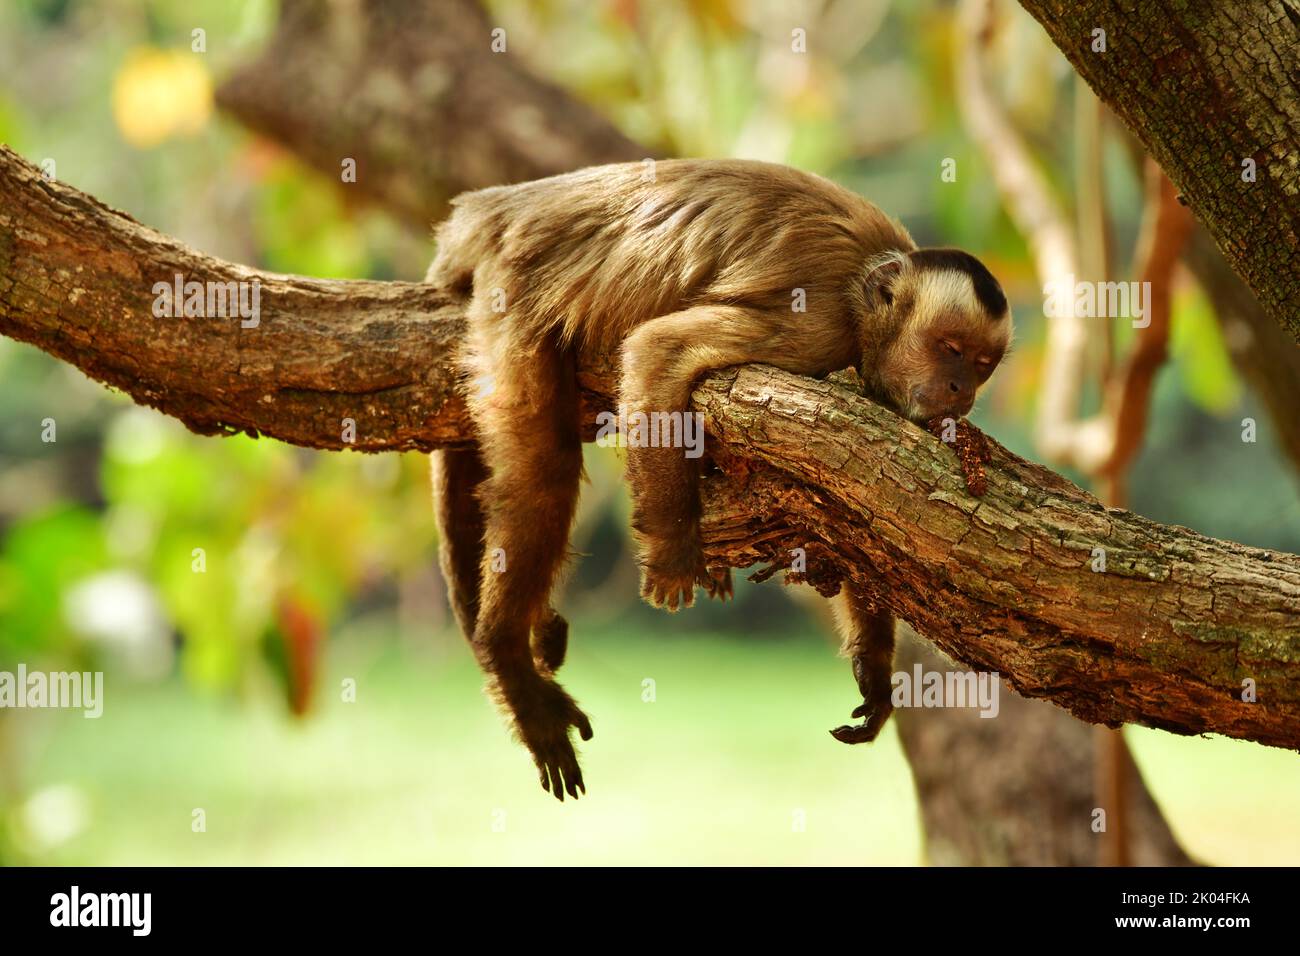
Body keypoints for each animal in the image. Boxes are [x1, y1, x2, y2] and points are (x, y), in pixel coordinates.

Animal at [426, 159, 1012, 800]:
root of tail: (497, 206)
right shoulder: (818, 325)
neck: (866, 301)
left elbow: (861, 512)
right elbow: (659, 348)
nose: (963, 391)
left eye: (982, 365)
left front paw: (875, 667)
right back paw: (506, 653)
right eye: (949, 348)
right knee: (543, 472)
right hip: (513, 284)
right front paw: (672, 548)